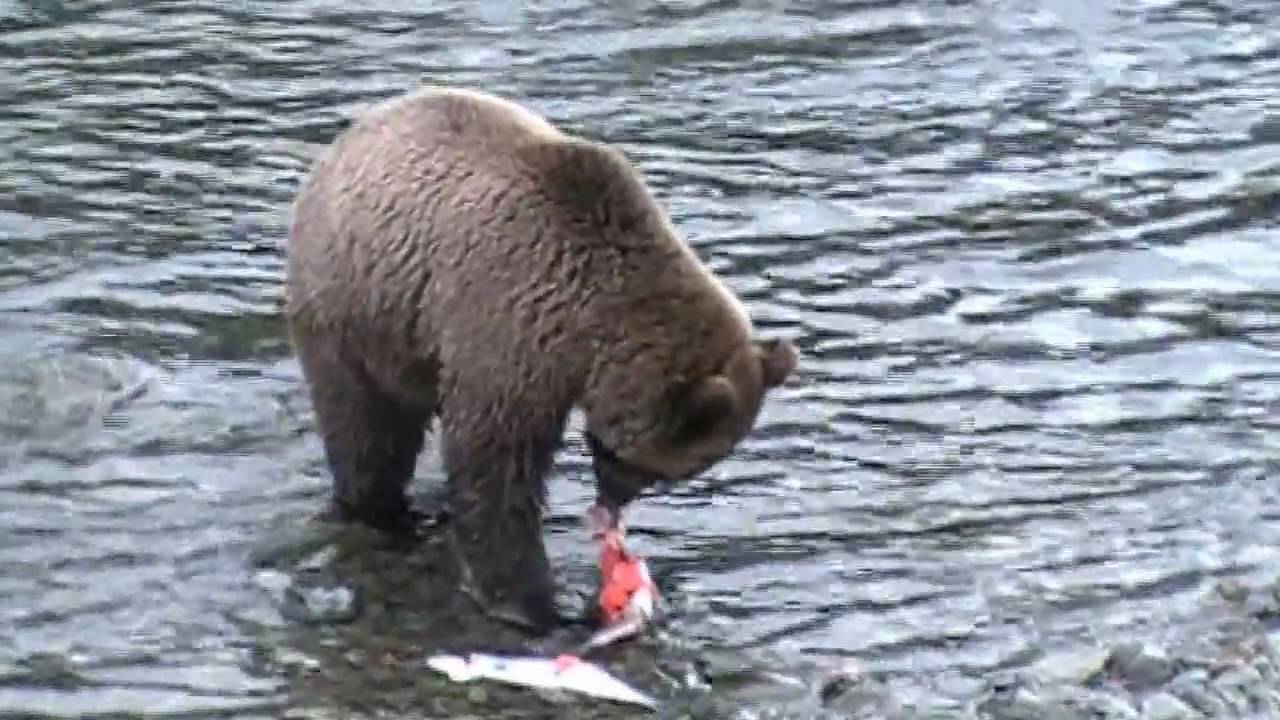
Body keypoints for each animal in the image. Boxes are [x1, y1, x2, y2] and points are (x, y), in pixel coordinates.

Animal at [284, 85, 797, 633]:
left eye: (660, 476)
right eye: (639, 464)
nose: (610, 506)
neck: (587, 327)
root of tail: (346, 139)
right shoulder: (507, 329)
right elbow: (495, 467)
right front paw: (533, 604)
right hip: (355, 312)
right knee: (366, 433)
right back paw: (381, 512)